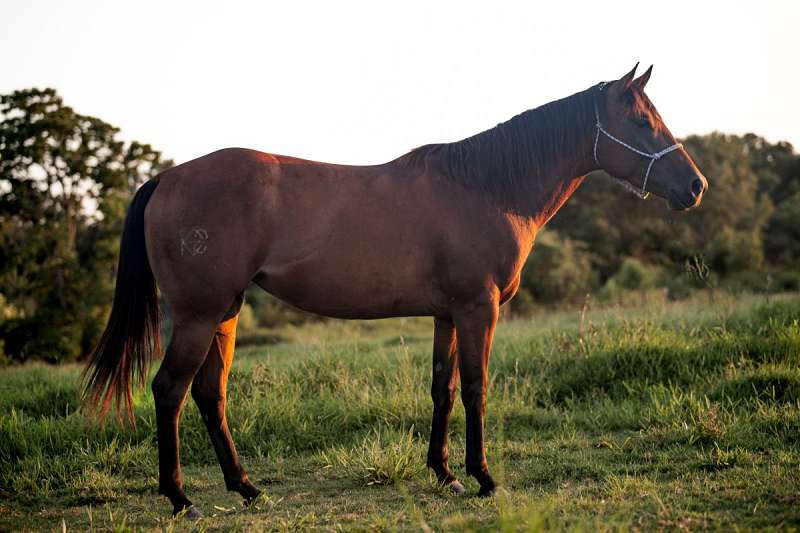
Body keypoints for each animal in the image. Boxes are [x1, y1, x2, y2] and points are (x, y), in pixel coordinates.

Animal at [84, 64, 707, 517]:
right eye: (643, 123)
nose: (696, 187)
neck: (486, 188)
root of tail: (166, 177)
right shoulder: (477, 310)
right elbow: (476, 388)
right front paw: (484, 477)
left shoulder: (447, 314)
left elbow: (443, 389)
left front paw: (446, 474)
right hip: (198, 314)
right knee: (169, 390)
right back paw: (180, 498)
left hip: (226, 314)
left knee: (210, 395)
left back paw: (246, 488)